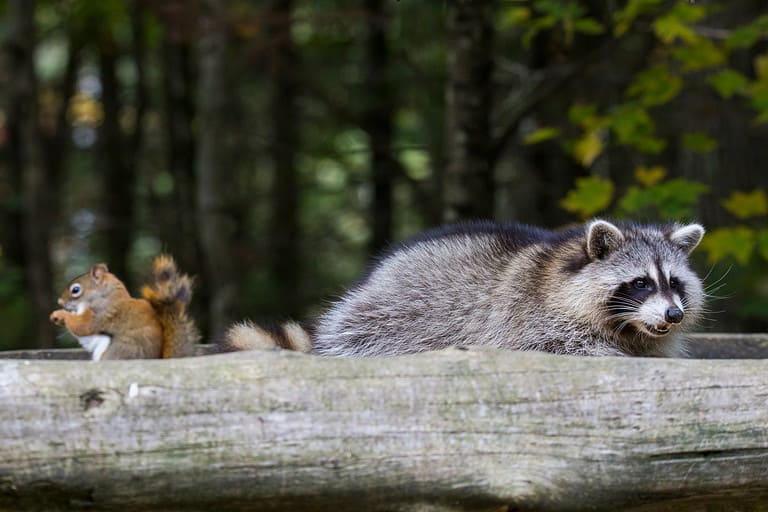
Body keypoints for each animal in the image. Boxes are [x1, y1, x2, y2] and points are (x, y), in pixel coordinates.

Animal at [224, 219, 706, 357]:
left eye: (674, 284)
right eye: (640, 283)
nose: (674, 315)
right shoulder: (528, 320)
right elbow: (557, 346)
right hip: (388, 315)